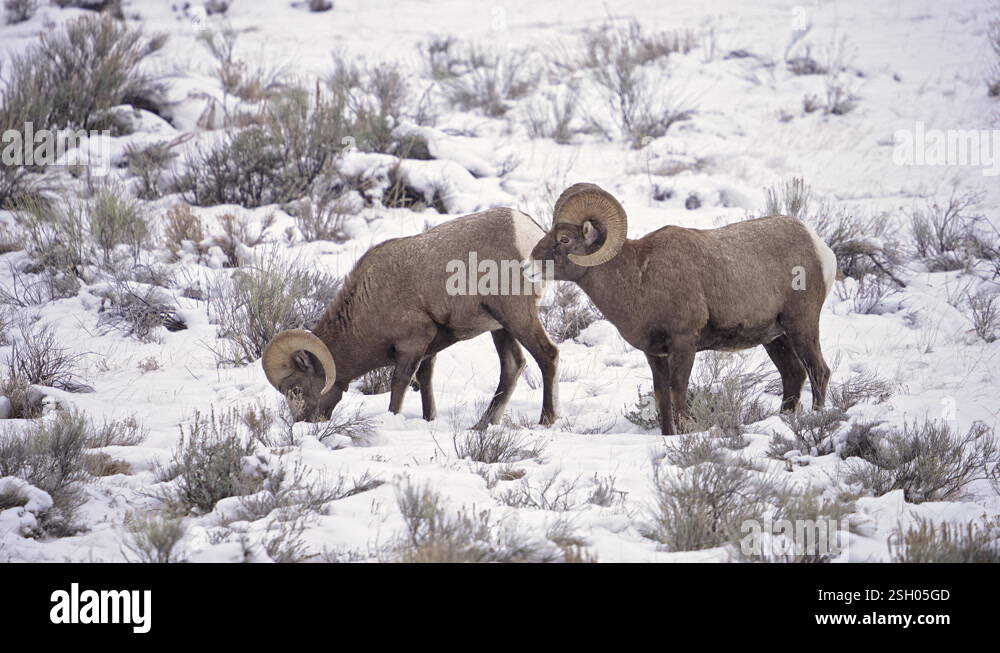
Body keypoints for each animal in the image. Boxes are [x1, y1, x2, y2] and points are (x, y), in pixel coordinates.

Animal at [261, 207, 559, 429]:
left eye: (295, 389)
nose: (304, 423)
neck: (366, 305)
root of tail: (528, 231)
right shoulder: (427, 350)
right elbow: (425, 380)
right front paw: (429, 419)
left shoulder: (412, 344)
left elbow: (399, 384)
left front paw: (392, 419)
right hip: (501, 326)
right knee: (512, 367)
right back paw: (481, 426)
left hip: (517, 316)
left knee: (547, 355)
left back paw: (546, 420)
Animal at [530, 183, 836, 435]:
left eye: (565, 239)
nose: (528, 266)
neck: (639, 279)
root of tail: (820, 248)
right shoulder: (655, 353)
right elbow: (662, 396)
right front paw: (668, 436)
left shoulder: (684, 342)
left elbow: (678, 391)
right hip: (775, 338)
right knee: (793, 375)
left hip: (801, 325)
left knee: (818, 371)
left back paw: (816, 419)